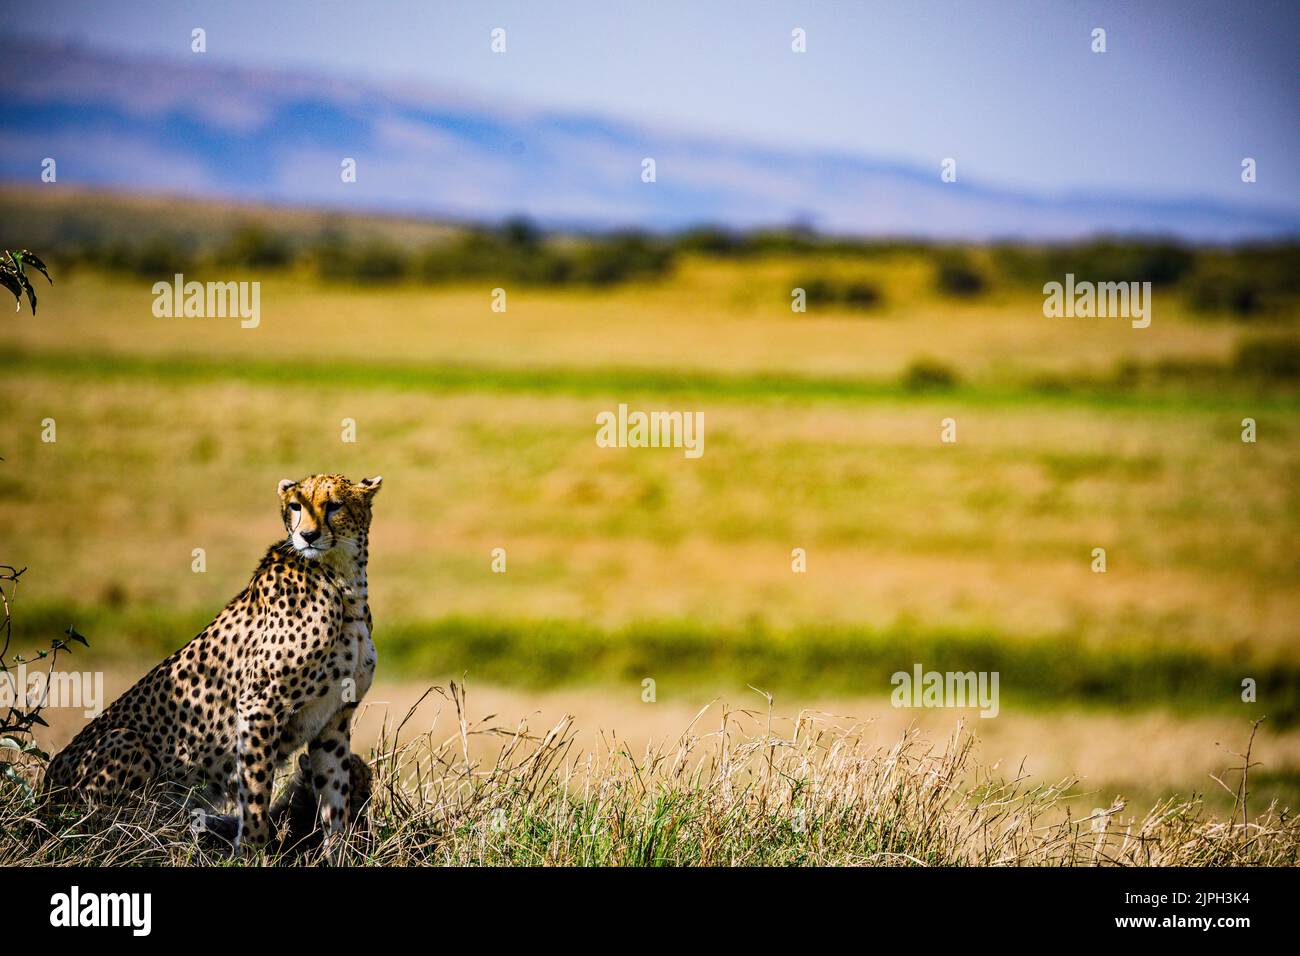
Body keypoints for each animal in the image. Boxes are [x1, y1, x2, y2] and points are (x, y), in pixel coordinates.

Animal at [44, 473, 383, 853]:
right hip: (126, 741)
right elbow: (256, 790)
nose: (307, 536)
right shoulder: (260, 705)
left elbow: (334, 796)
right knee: (116, 825)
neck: (344, 584)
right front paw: (251, 850)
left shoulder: (334, 719)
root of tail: (45, 790)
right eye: (296, 506)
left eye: (334, 505)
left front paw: (339, 851)